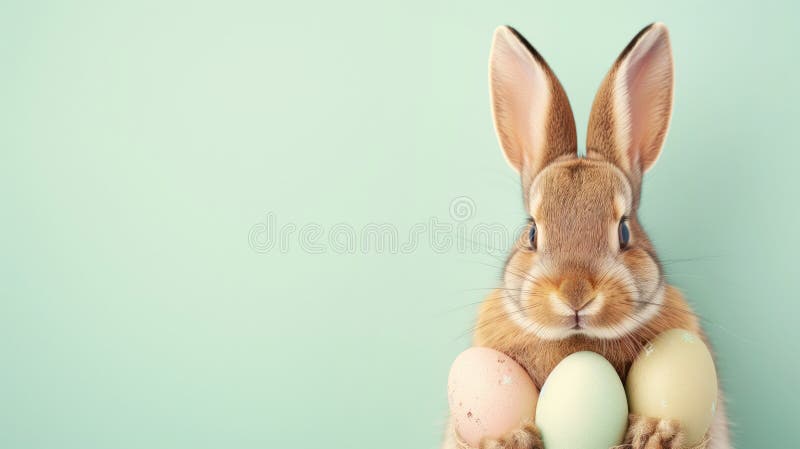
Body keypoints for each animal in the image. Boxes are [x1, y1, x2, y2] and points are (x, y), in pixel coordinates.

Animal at [441, 23, 732, 449]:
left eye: (624, 230)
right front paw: (511, 438)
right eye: (532, 231)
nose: (575, 293)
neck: (579, 344)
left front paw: (654, 432)